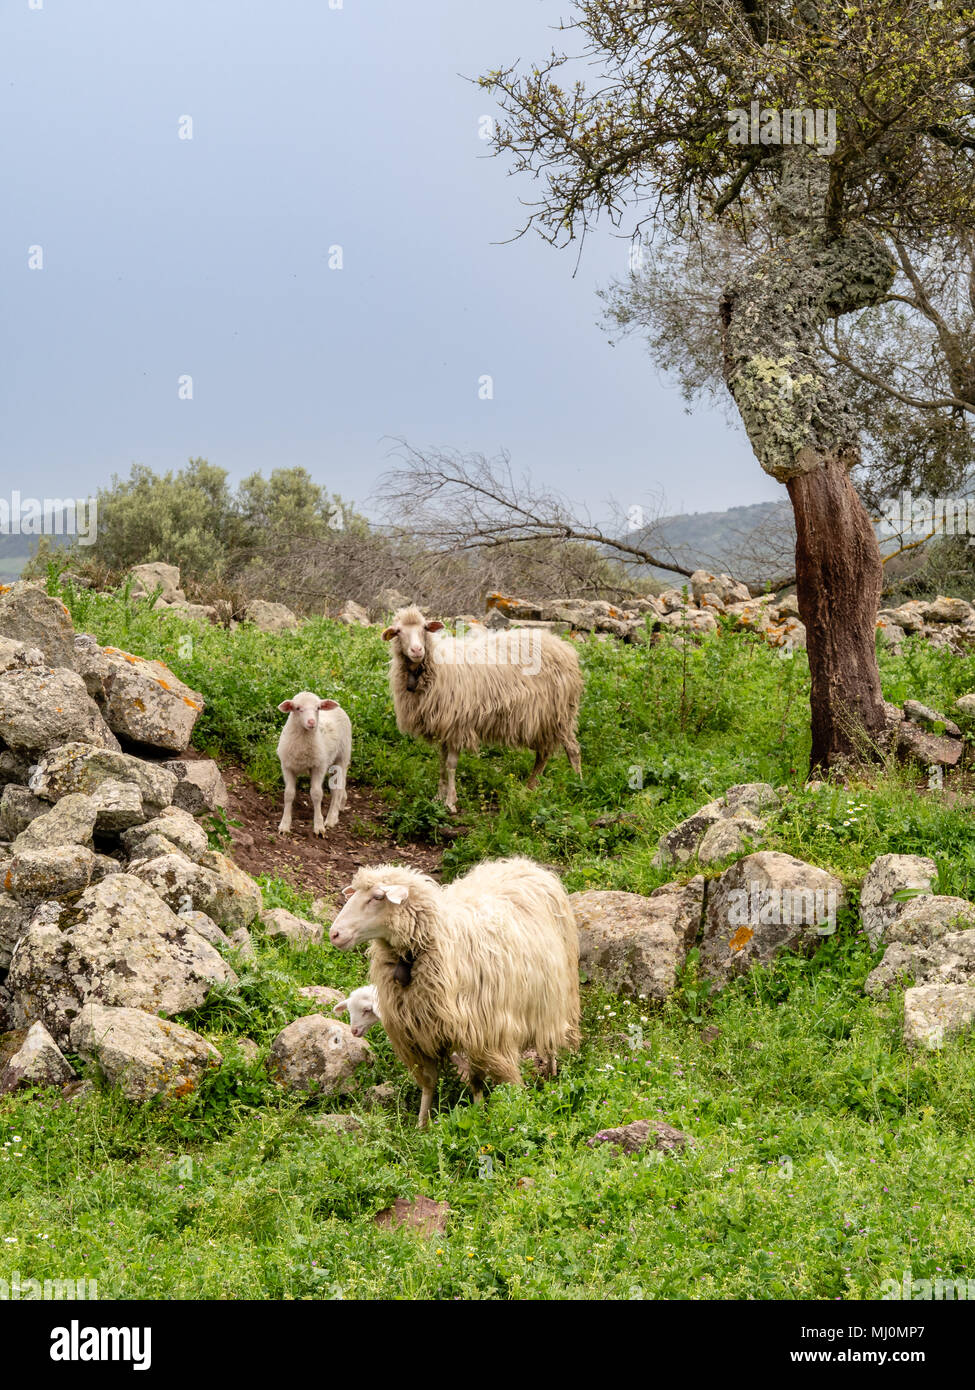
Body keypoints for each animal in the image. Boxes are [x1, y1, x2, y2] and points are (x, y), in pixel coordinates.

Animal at [276, 691, 352, 836]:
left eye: (318, 708)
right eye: (297, 708)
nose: (311, 722)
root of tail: (339, 708)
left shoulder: (319, 766)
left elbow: (316, 794)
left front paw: (319, 826)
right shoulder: (287, 766)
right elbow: (288, 794)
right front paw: (284, 825)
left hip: (342, 756)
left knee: (337, 789)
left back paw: (331, 818)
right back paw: (342, 804)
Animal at [328, 855, 580, 1128]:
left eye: (377, 897)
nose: (334, 934)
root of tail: (522, 863)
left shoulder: (481, 1032)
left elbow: (478, 1079)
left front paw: (489, 1112)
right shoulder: (418, 1036)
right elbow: (429, 1084)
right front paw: (422, 1124)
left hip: (556, 994)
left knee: (552, 1036)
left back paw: (552, 1071)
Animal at [382, 604, 582, 812]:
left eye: (424, 628)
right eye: (398, 631)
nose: (417, 650)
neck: (434, 666)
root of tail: (563, 646)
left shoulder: (457, 725)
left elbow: (451, 764)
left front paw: (450, 802)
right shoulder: (443, 725)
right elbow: (441, 764)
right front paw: (438, 797)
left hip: (561, 713)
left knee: (573, 749)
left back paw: (578, 783)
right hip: (543, 718)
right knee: (543, 754)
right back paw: (530, 787)